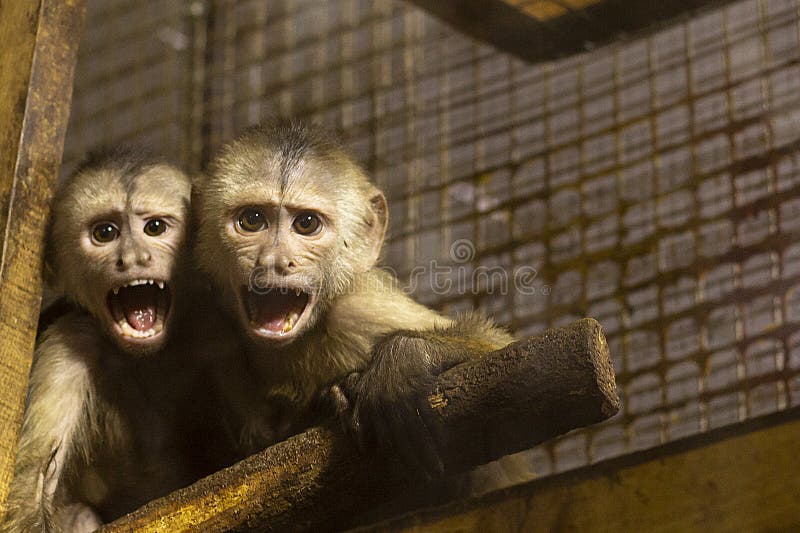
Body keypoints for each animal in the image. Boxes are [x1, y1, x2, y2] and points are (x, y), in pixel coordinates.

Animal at [194, 120, 532, 512]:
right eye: (252, 219)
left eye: (306, 224)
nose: (275, 260)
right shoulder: (211, 330)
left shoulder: (360, 307)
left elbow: (508, 356)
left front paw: (404, 359)